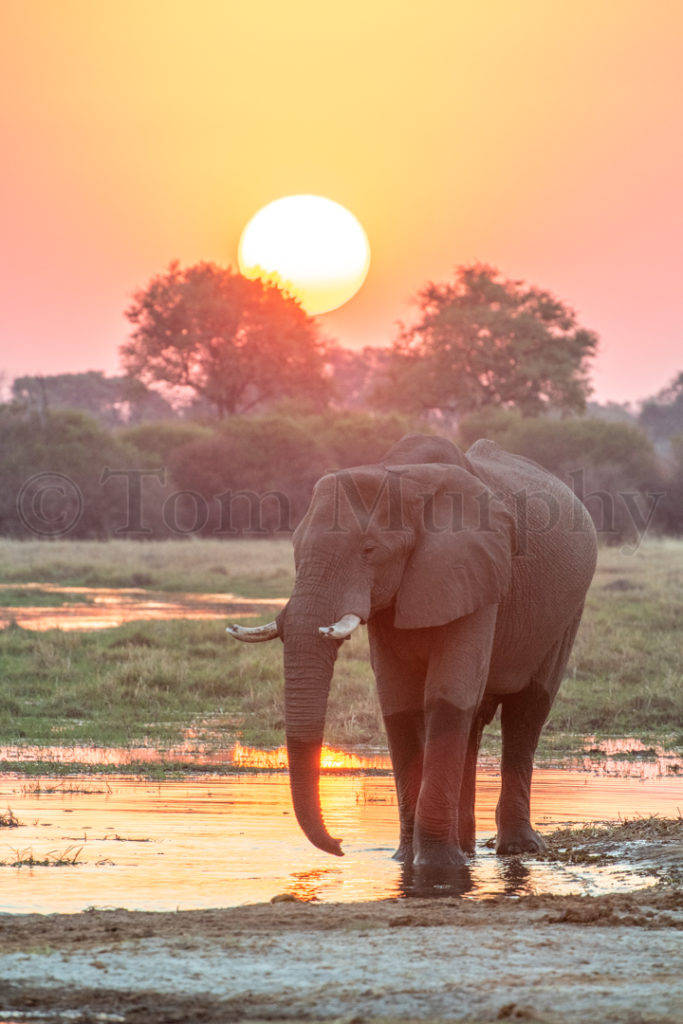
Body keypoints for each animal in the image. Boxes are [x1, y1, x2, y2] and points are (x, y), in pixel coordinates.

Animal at [227, 434, 597, 869]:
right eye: (294, 548)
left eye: (370, 550)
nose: (339, 845)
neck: (404, 479)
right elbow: (399, 702)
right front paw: (404, 860)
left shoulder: (477, 571)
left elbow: (446, 696)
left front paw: (436, 866)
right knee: (474, 719)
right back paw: (467, 849)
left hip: (568, 610)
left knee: (527, 711)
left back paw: (517, 849)